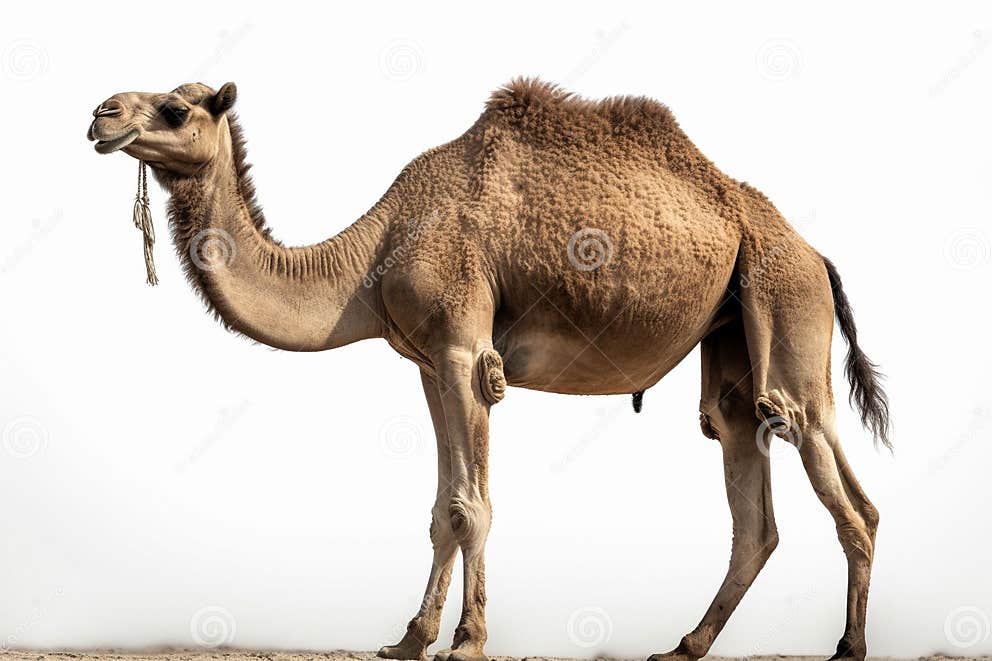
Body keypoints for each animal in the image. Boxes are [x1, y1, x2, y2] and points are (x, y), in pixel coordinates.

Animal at [87, 79, 890, 661]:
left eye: (176, 107)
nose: (100, 114)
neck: (375, 250)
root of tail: (815, 252)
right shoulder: (424, 362)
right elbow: (442, 508)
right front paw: (408, 639)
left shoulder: (462, 349)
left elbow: (471, 506)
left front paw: (467, 641)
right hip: (733, 328)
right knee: (743, 465)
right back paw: (685, 645)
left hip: (784, 296)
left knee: (829, 464)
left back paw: (848, 646)